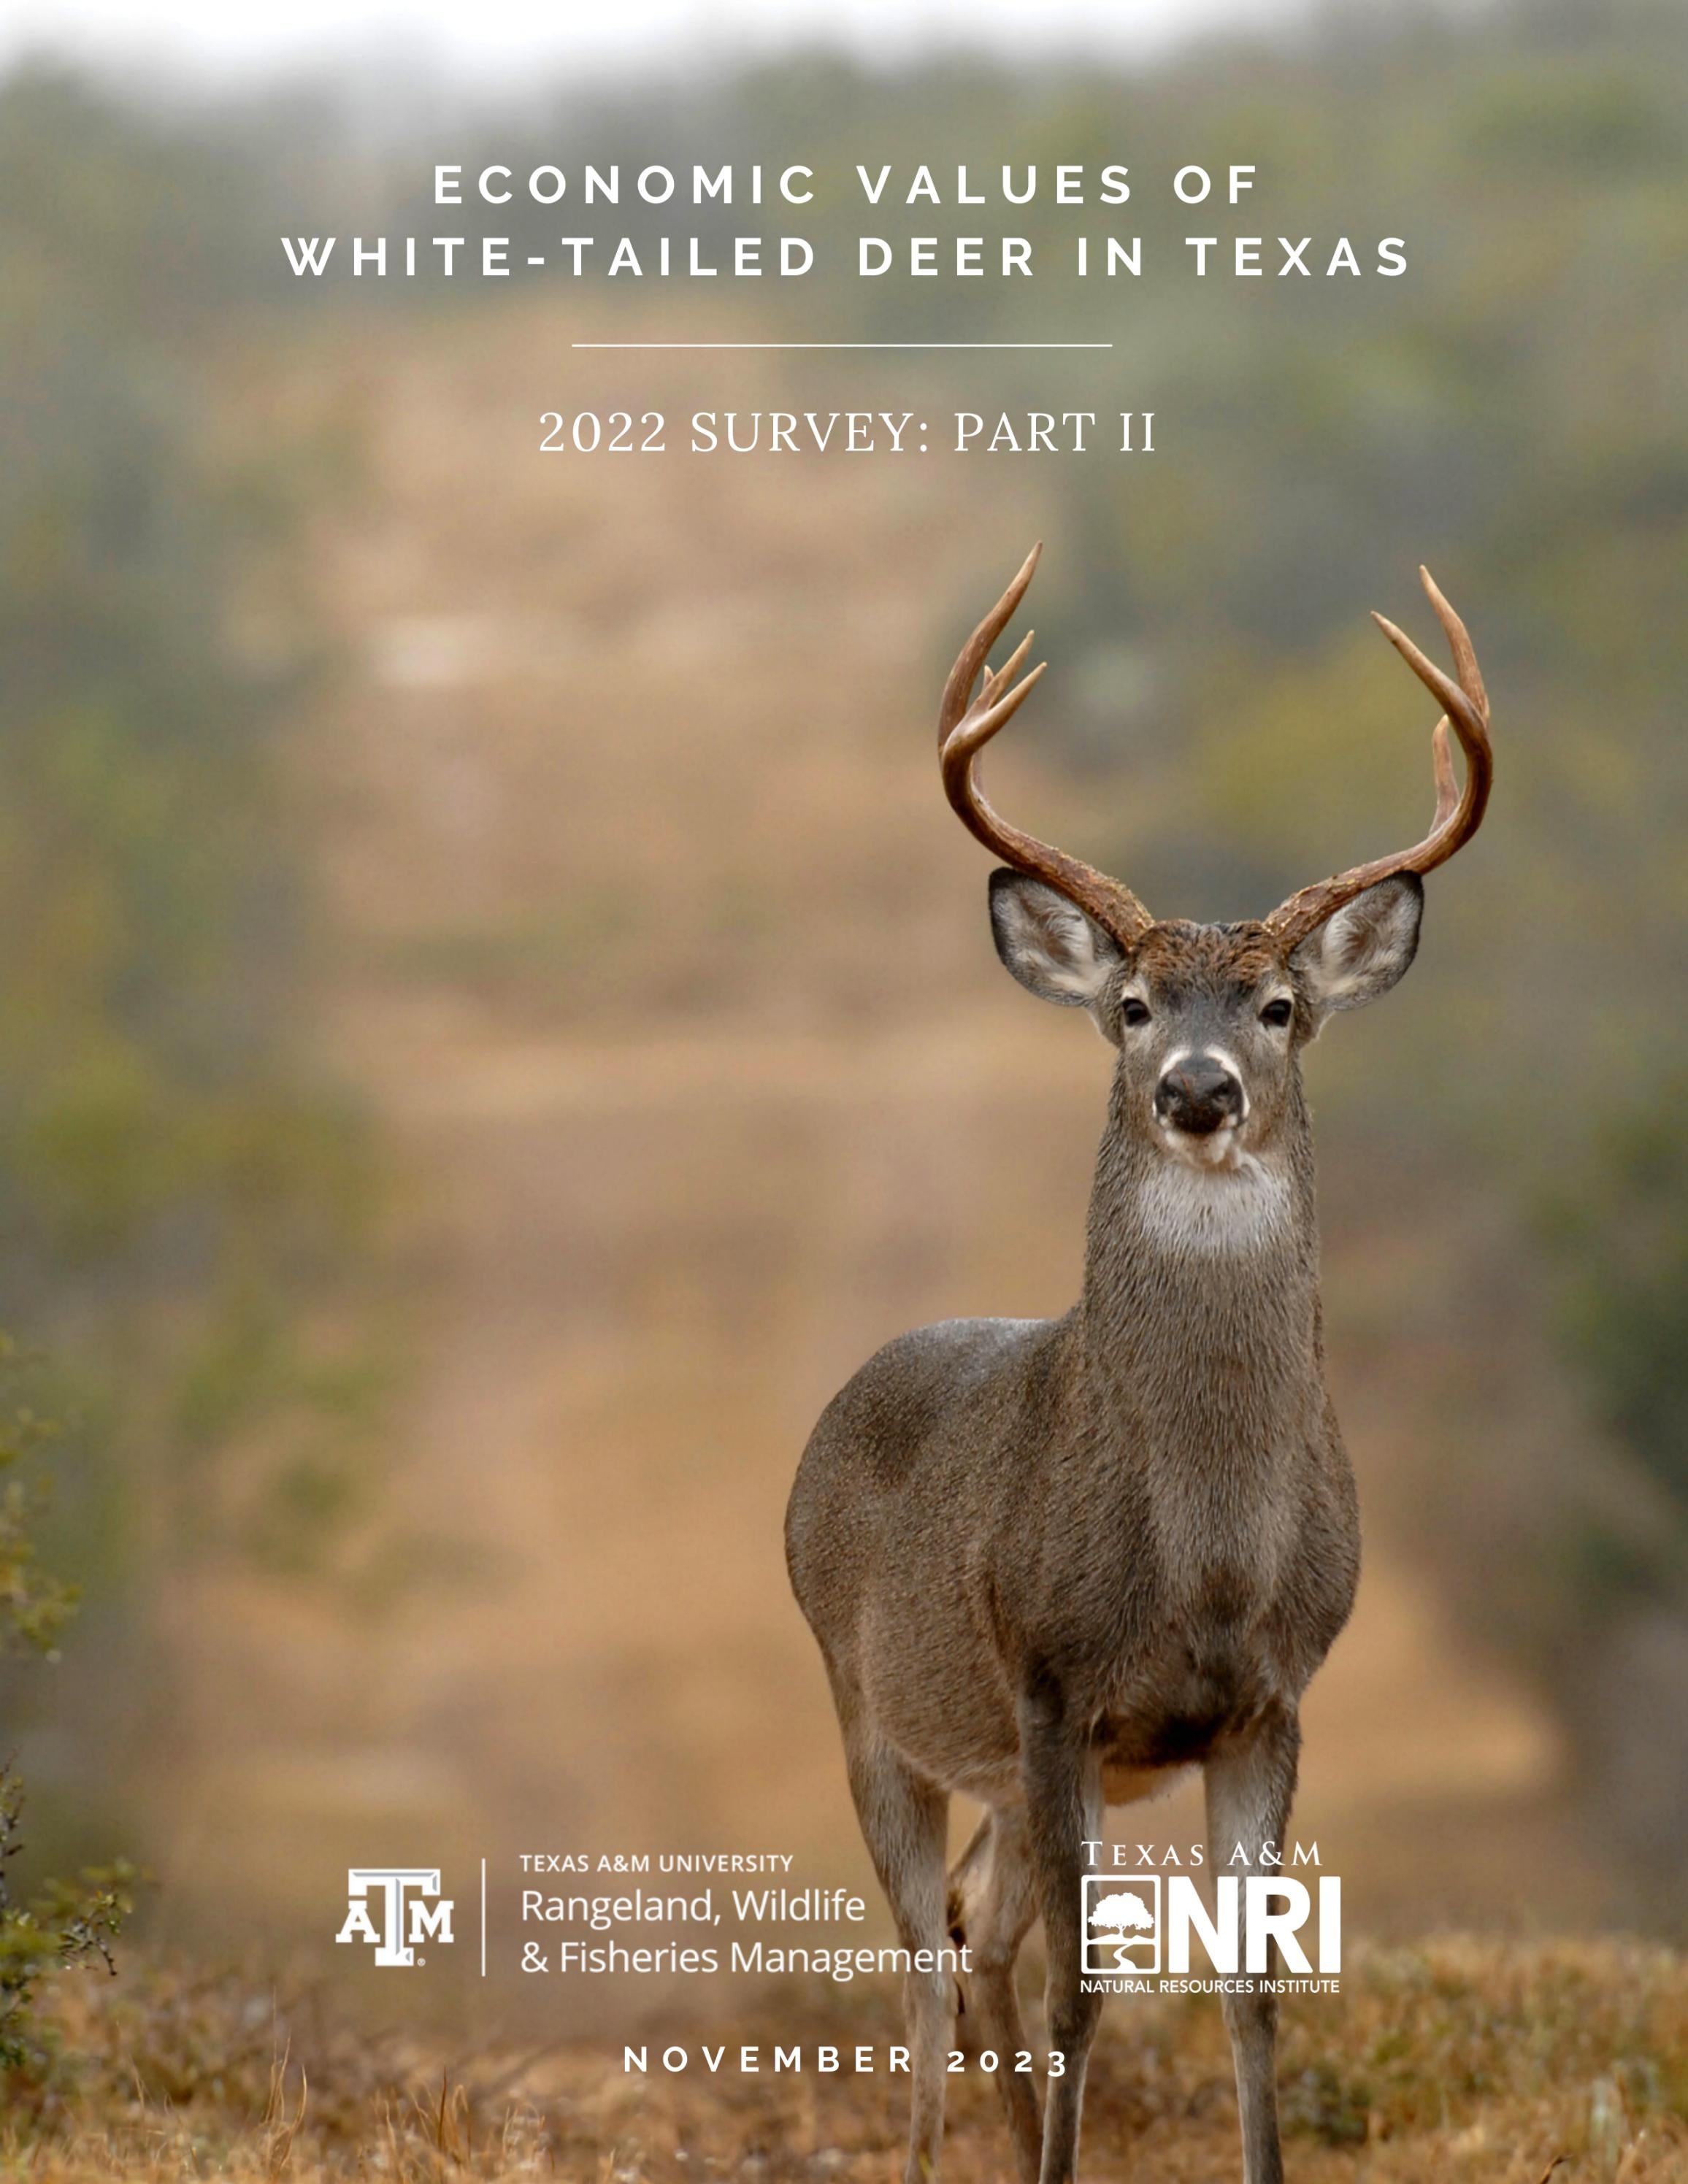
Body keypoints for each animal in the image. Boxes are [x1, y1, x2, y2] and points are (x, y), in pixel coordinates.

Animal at [785, 546, 1492, 2184]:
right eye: (1129, 1004)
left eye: (1281, 1007)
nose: (1196, 1087)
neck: (1207, 1560)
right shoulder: (1055, 1678)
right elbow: (1083, 1991)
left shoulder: (1271, 1697)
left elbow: (1251, 1989)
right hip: (869, 1701)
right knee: (921, 1964)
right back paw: (934, 2154)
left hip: (1015, 1764)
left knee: (973, 1933)